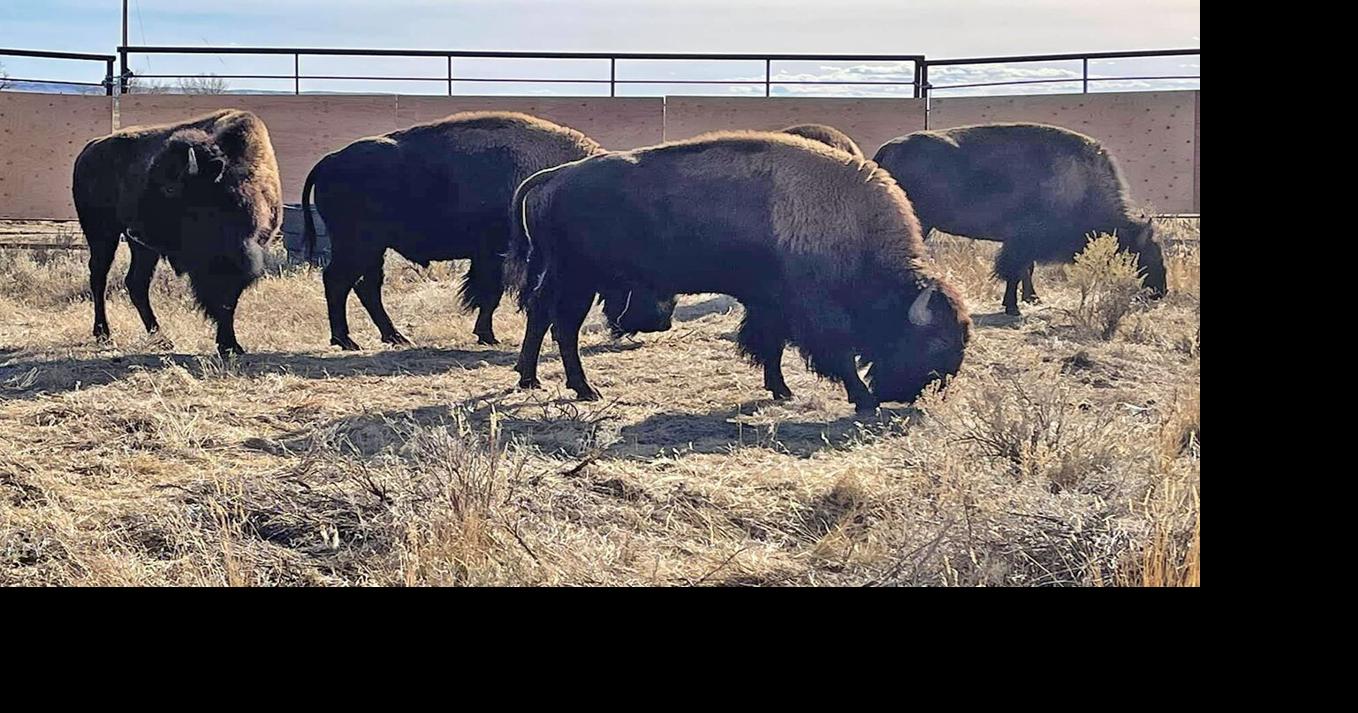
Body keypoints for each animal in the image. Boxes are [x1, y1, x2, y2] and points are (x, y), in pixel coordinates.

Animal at [73, 109, 283, 355]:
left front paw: (230, 345)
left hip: (142, 249)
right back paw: (104, 334)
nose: (135, 229)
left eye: (170, 187)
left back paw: (161, 338)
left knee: (136, 283)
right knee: (99, 277)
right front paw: (228, 344)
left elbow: (228, 299)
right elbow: (218, 299)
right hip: (102, 233)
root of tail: (89, 149)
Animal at [300, 111, 606, 349]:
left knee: (366, 286)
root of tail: (328, 161)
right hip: (357, 245)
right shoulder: (495, 256)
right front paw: (488, 336)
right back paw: (346, 340)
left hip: (374, 249)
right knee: (337, 281)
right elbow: (489, 295)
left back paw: (395, 337)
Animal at [507, 132, 971, 412]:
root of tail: (554, 177)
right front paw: (862, 400)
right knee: (562, 325)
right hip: (577, 279)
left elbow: (770, 346)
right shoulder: (813, 313)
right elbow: (834, 353)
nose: (913, 394)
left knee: (543, 317)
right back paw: (582, 388)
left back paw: (533, 381)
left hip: (566, 277)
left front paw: (780, 390)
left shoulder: (771, 304)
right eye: (933, 340)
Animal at [873, 122, 1168, 315]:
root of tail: (888, 150)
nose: (1161, 291)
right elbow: (1014, 271)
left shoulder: (1024, 245)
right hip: (920, 223)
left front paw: (1031, 299)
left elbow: (1026, 270)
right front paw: (1013, 308)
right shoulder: (1021, 242)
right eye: (1148, 253)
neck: (1079, 185)